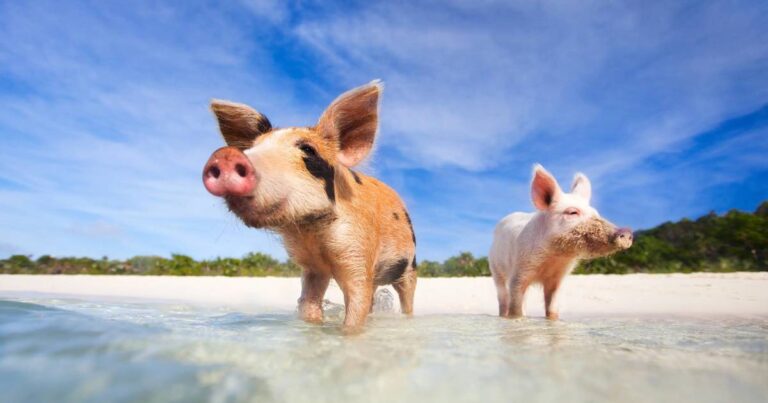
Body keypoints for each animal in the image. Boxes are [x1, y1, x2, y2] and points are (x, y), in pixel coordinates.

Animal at [202, 81, 417, 332]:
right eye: (251, 148)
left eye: (308, 150)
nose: (225, 155)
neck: (312, 232)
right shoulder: (313, 268)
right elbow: (309, 305)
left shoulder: (358, 251)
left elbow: (356, 307)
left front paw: (347, 333)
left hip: (410, 266)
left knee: (406, 298)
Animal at [489, 164, 633, 320]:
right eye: (572, 212)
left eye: (596, 214)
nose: (627, 232)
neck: (554, 257)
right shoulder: (519, 271)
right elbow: (515, 306)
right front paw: (515, 319)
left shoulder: (558, 278)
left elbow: (552, 307)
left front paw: (552, 320)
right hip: (495, 267)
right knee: (503, 297)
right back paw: (503, 316)